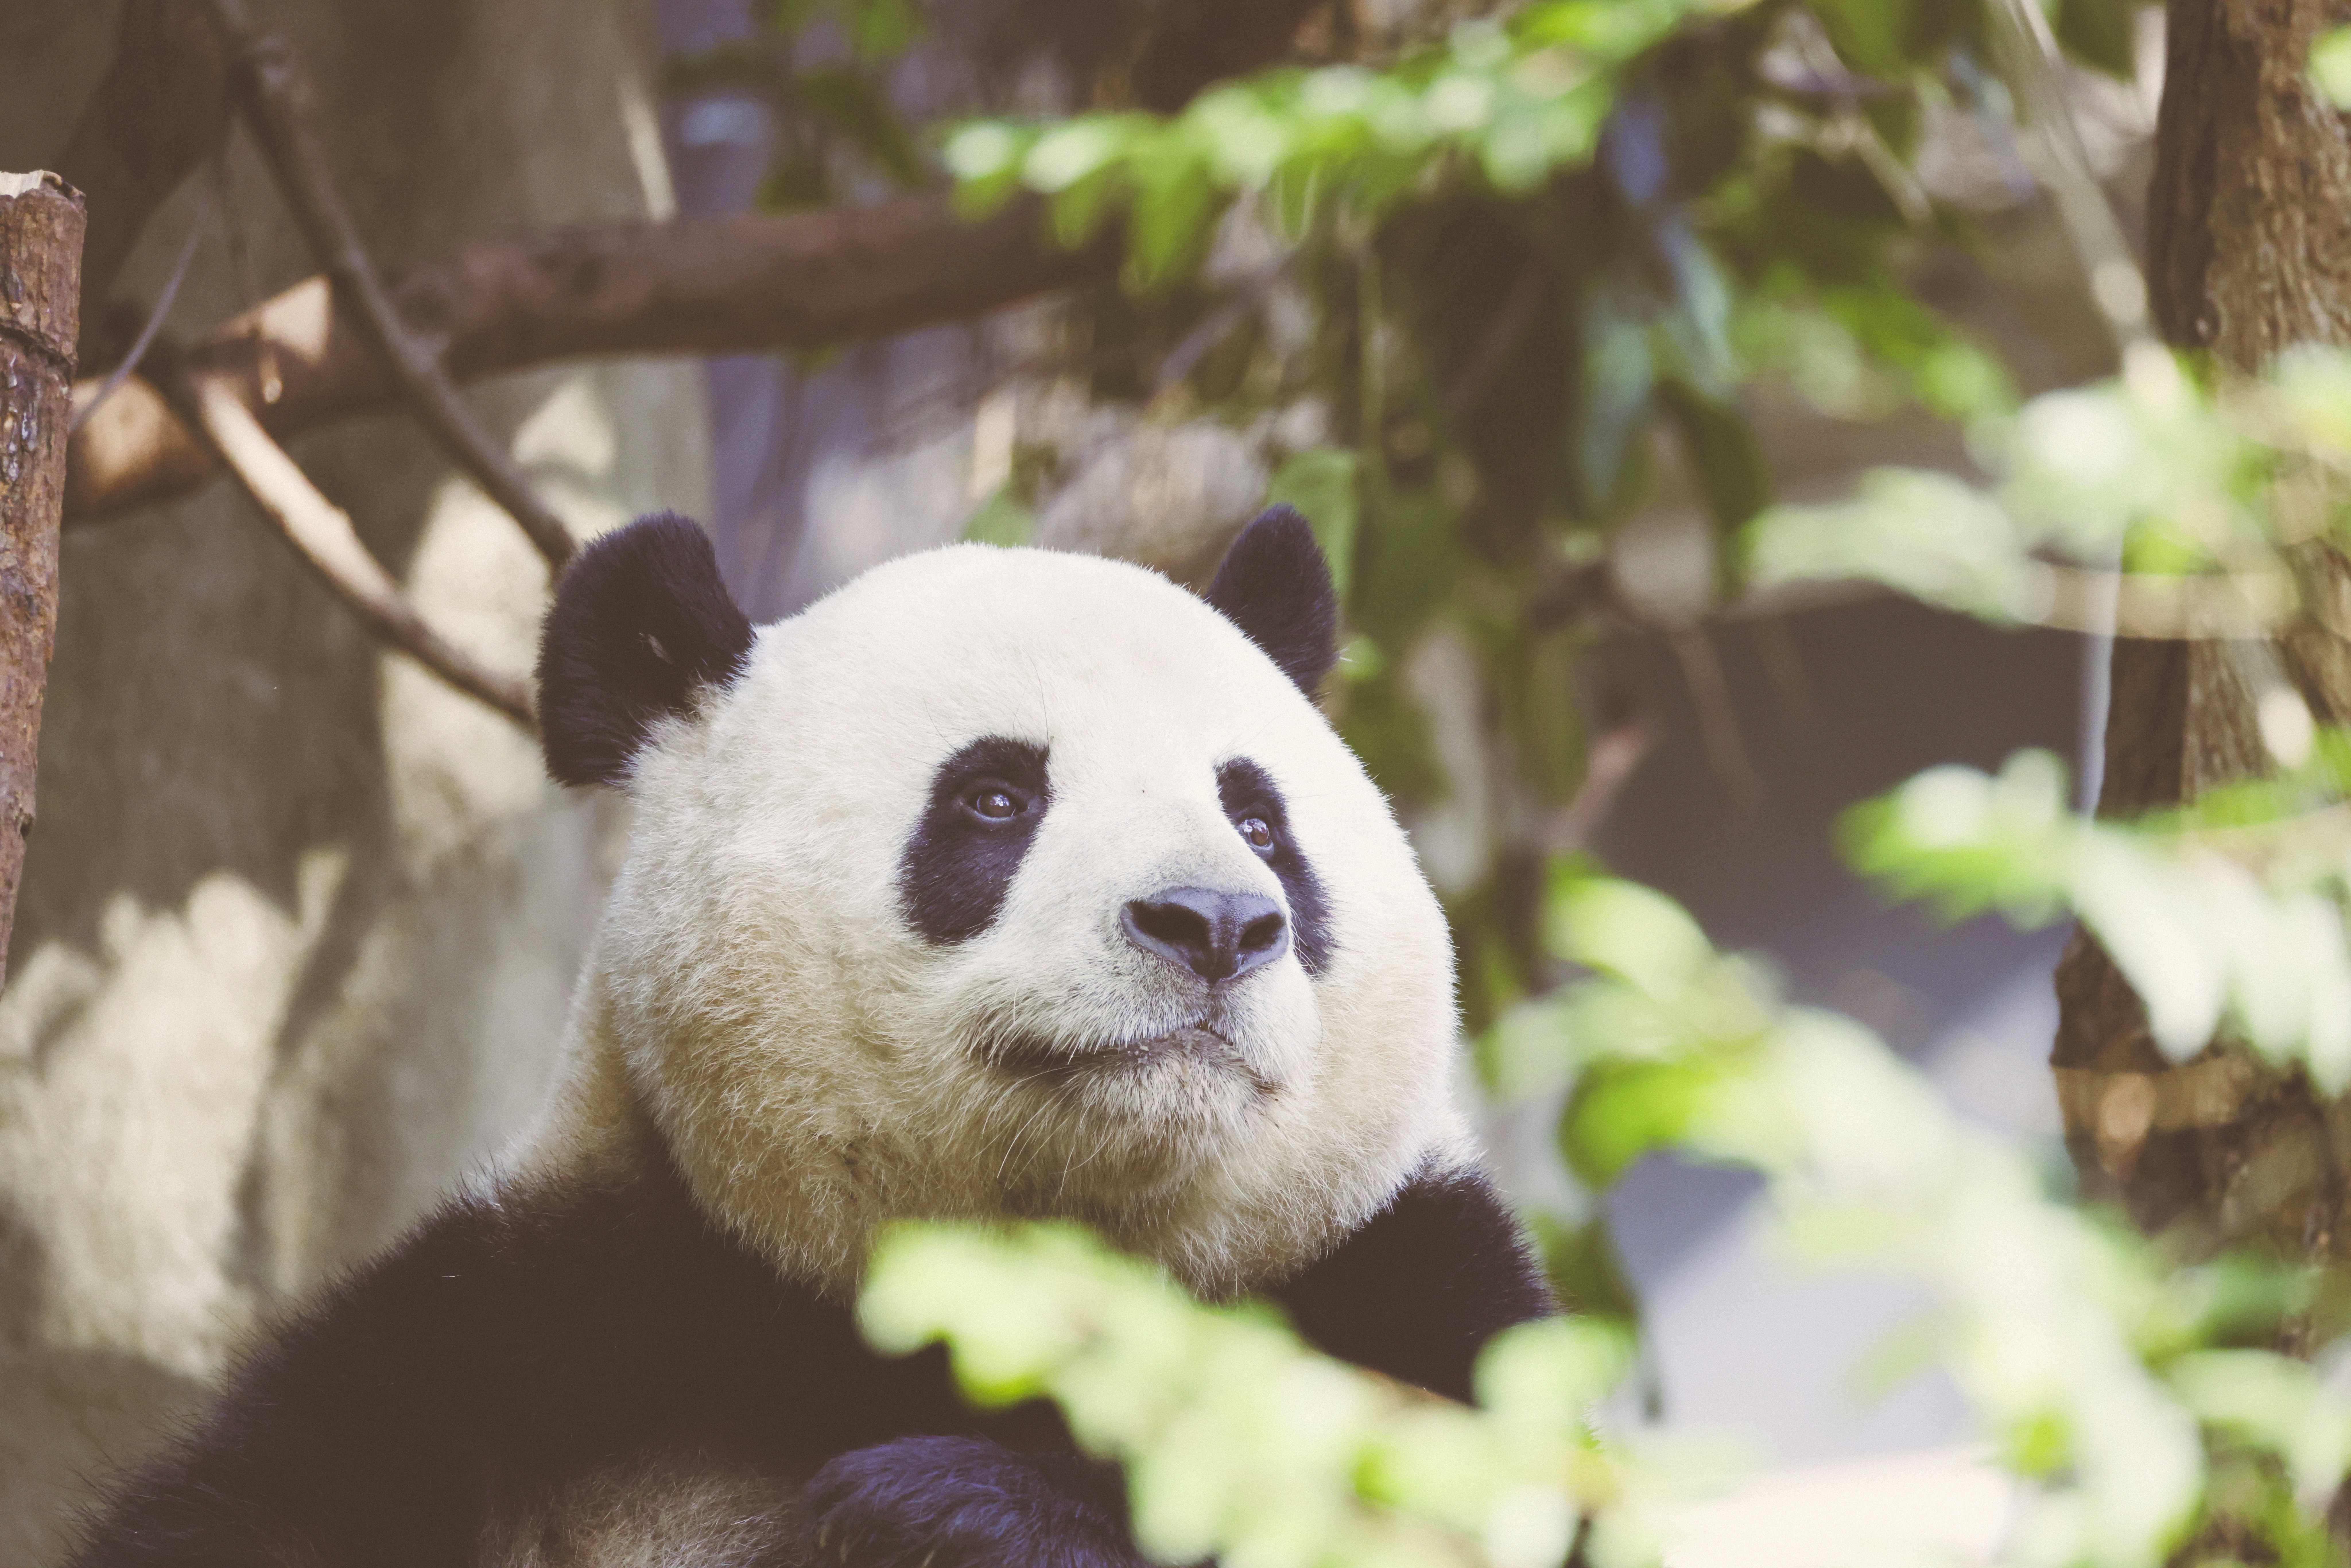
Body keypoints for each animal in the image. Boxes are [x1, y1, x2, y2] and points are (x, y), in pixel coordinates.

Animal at [70, 508, 1552, 1567]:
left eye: (1258, 819)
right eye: (996, 797)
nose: (1215, 922)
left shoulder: (1416, 1308)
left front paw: (951, 1513)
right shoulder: (543, 1329)